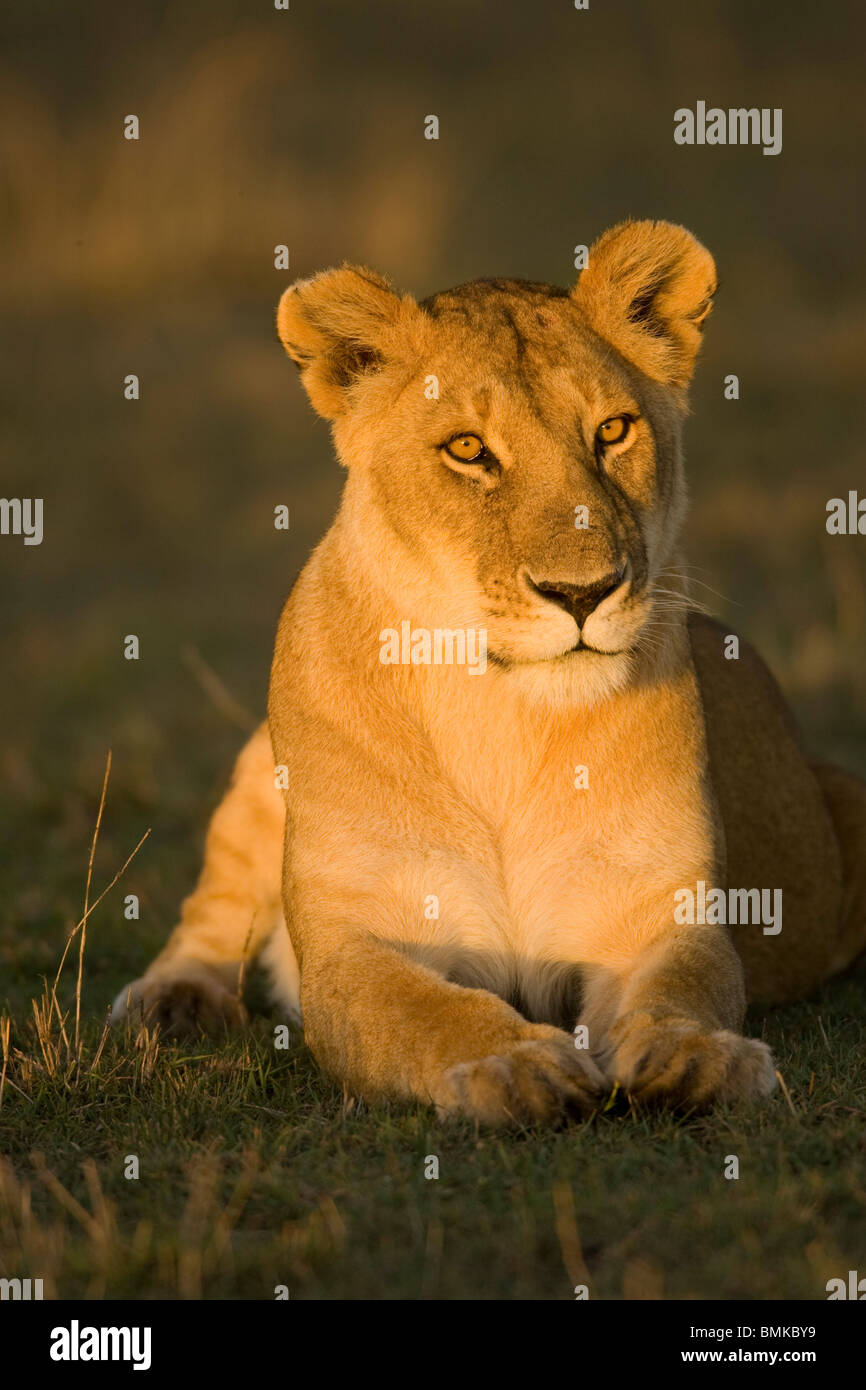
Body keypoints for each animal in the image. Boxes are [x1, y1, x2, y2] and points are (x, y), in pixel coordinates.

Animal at [112, 220, 866, 1123]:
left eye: (613, 432)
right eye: (468, 450)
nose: (582, 592)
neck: (503, 716)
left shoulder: (656, 918)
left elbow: (684, 989)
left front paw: (697, 1058)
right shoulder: (355, 943)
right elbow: (427, 1010)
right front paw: (516, 1065)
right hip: (255, 771)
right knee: (212, 912)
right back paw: (172, 1003)